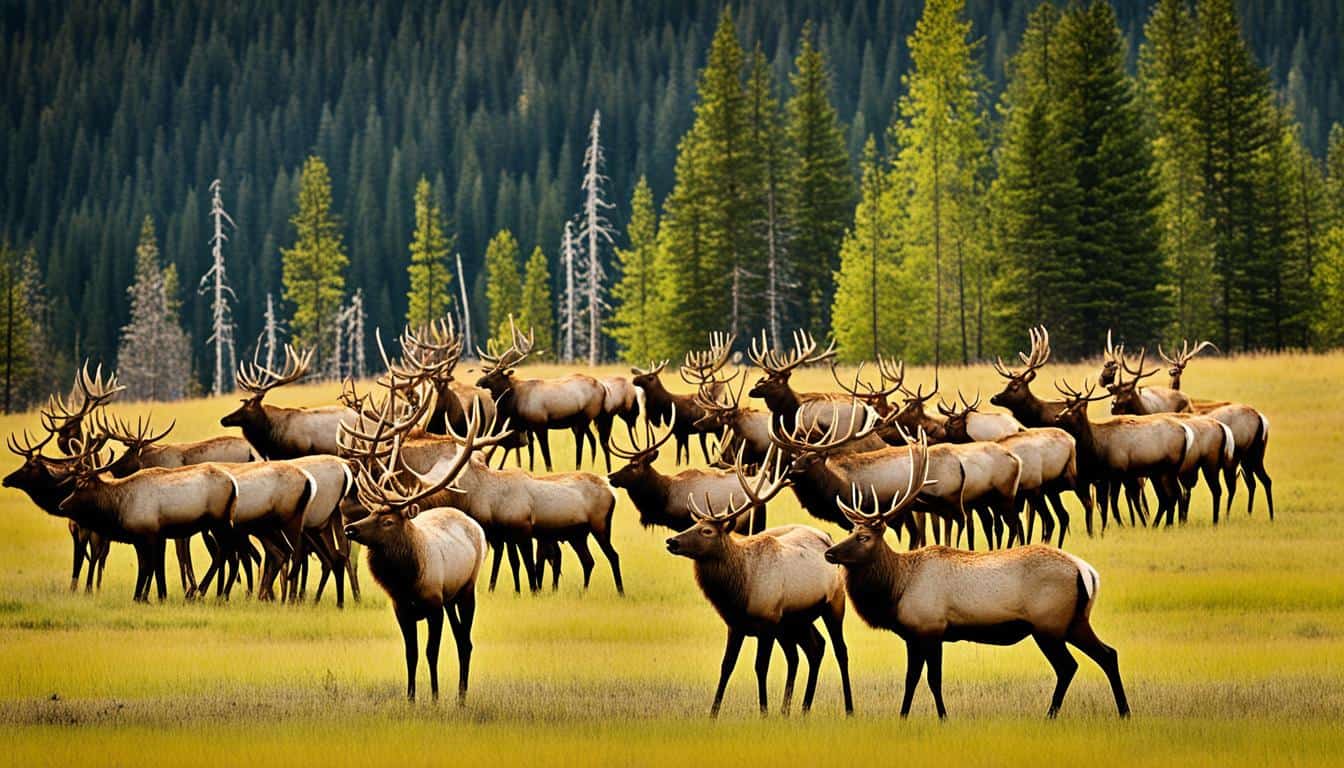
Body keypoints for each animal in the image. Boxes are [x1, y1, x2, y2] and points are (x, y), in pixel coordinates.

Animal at [342, 405, 488, 703]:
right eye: (371, 512)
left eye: (388, 521)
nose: (349, 528)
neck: (406, 581)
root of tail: (475, 524)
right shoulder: (402, 609)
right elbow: (411, 654)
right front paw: (410, 698)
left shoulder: (434, 605)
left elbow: (431, 652)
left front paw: (434, 697)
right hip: (450, 598)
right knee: (461, 639)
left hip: (467, 589)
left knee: (466, 641)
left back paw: (461, 695)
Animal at [474, 317, 606, 472]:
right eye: (489, 371)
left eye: (495, 375)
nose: (478, 382)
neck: (514, 402)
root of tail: (602, 388)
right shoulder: (526, 427)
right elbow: (530, 451)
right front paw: (530, 470)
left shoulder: (540, 424)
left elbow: (545, 454)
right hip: (579, 422)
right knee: (592, 440)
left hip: (585, 418)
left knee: (583, 442)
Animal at [665, 448, 853, 717]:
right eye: (694, 524)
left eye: (707, 531)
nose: (672, 541)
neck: (738, 592)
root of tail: (826, 537)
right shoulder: (736, 625)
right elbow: (726, 666)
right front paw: (713, 713)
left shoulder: (768, 621)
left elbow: (760, 666)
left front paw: (763, 712)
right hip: (795, 621)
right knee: (813, 649)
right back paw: (797, 709)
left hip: (833, 604)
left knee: (839, 650)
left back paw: (847, 708)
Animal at [822, 434, 1130, 720]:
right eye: (850, 531)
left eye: (863, 537)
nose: (829, 553)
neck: (897, 589)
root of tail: (1086, 570)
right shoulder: (915, 634)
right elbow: (914, 680)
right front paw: (905, 716)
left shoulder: (930, 627)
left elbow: (930, 680)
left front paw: (939, 717)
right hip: (1075, 621)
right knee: (1108, 654)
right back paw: (1123, 711)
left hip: (1049, 624)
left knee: (1069, 666)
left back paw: (1052, 714)